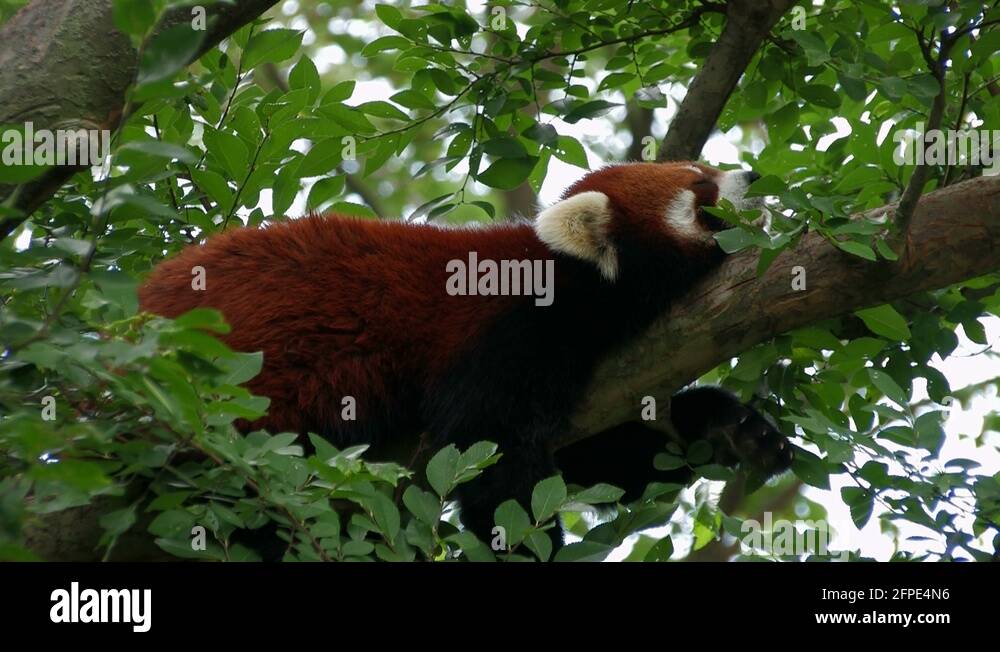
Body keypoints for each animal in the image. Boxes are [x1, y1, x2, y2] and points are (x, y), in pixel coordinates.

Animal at [139, 161, 793, 551]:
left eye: (706, 169)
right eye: (700, 188)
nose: (753, 174)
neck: (567, 280)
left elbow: (602, 459)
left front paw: (732, 428)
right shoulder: (505, 338)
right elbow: (492, 463)